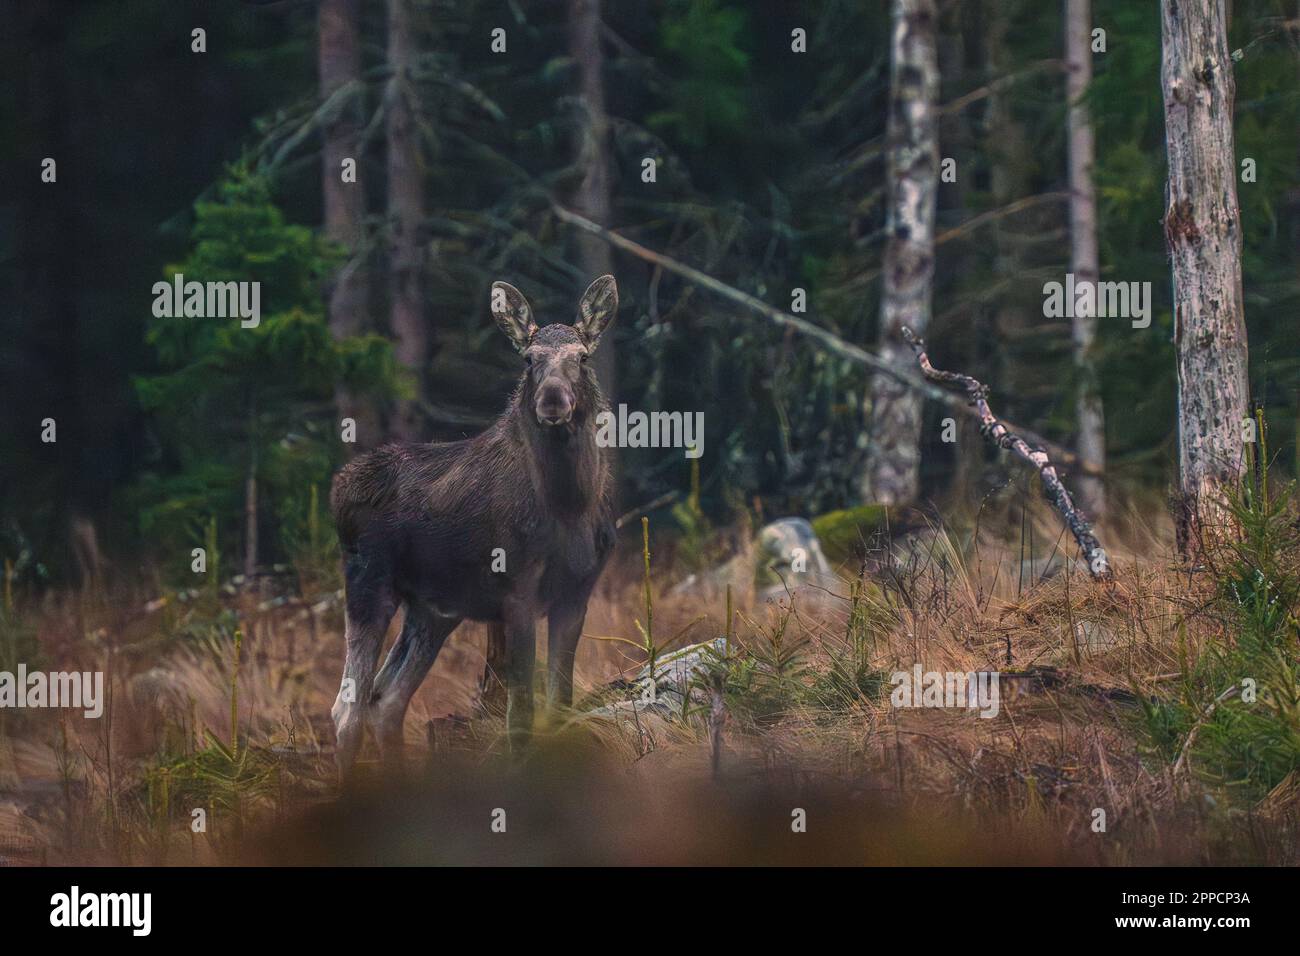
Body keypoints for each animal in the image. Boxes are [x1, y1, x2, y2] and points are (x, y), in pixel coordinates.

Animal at [328, 276, 618, 778]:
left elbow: (560, 707)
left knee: (387, 699)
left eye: (582, 356)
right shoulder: (517, 594)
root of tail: (339, 489)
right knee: (347, 709)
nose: (553, 400)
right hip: (368, 583)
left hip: (432, 610)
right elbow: (520, 716)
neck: (568, 507)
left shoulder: (577, 593)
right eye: (528, 358)